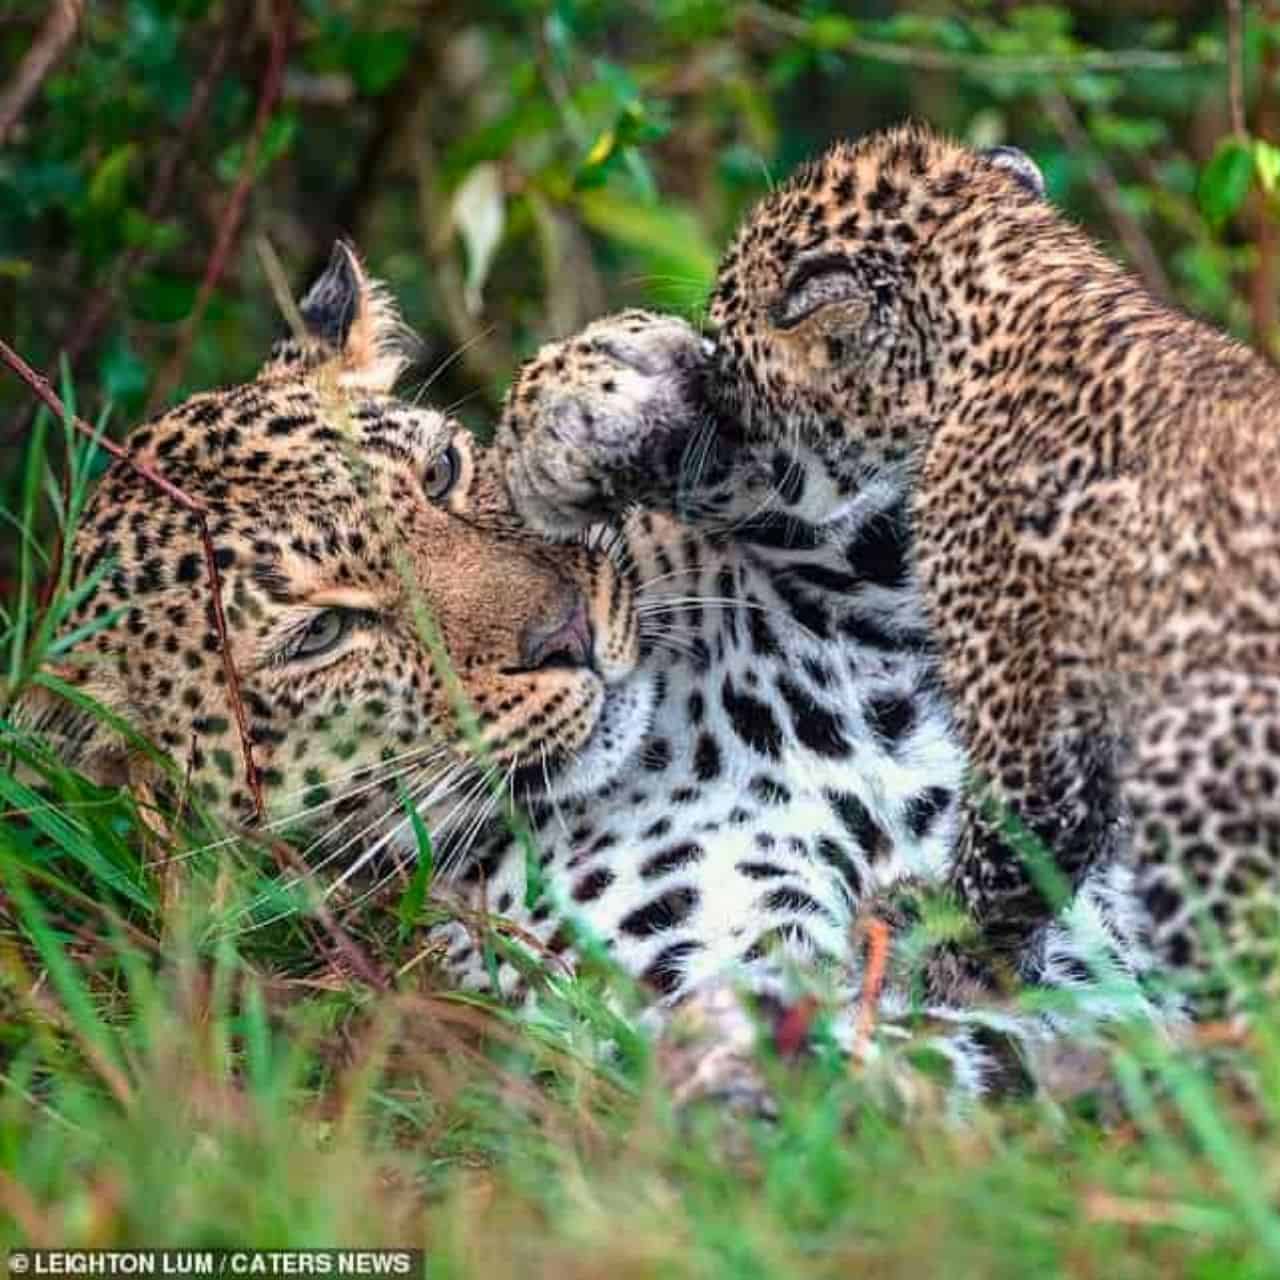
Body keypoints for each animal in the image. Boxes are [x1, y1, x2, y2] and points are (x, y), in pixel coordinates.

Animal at [10, 244, 1163, 1109]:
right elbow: (907, 1055)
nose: (563, 631)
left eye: (441, 472)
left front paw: (612, 388)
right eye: (321, 635)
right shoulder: (705, 986)